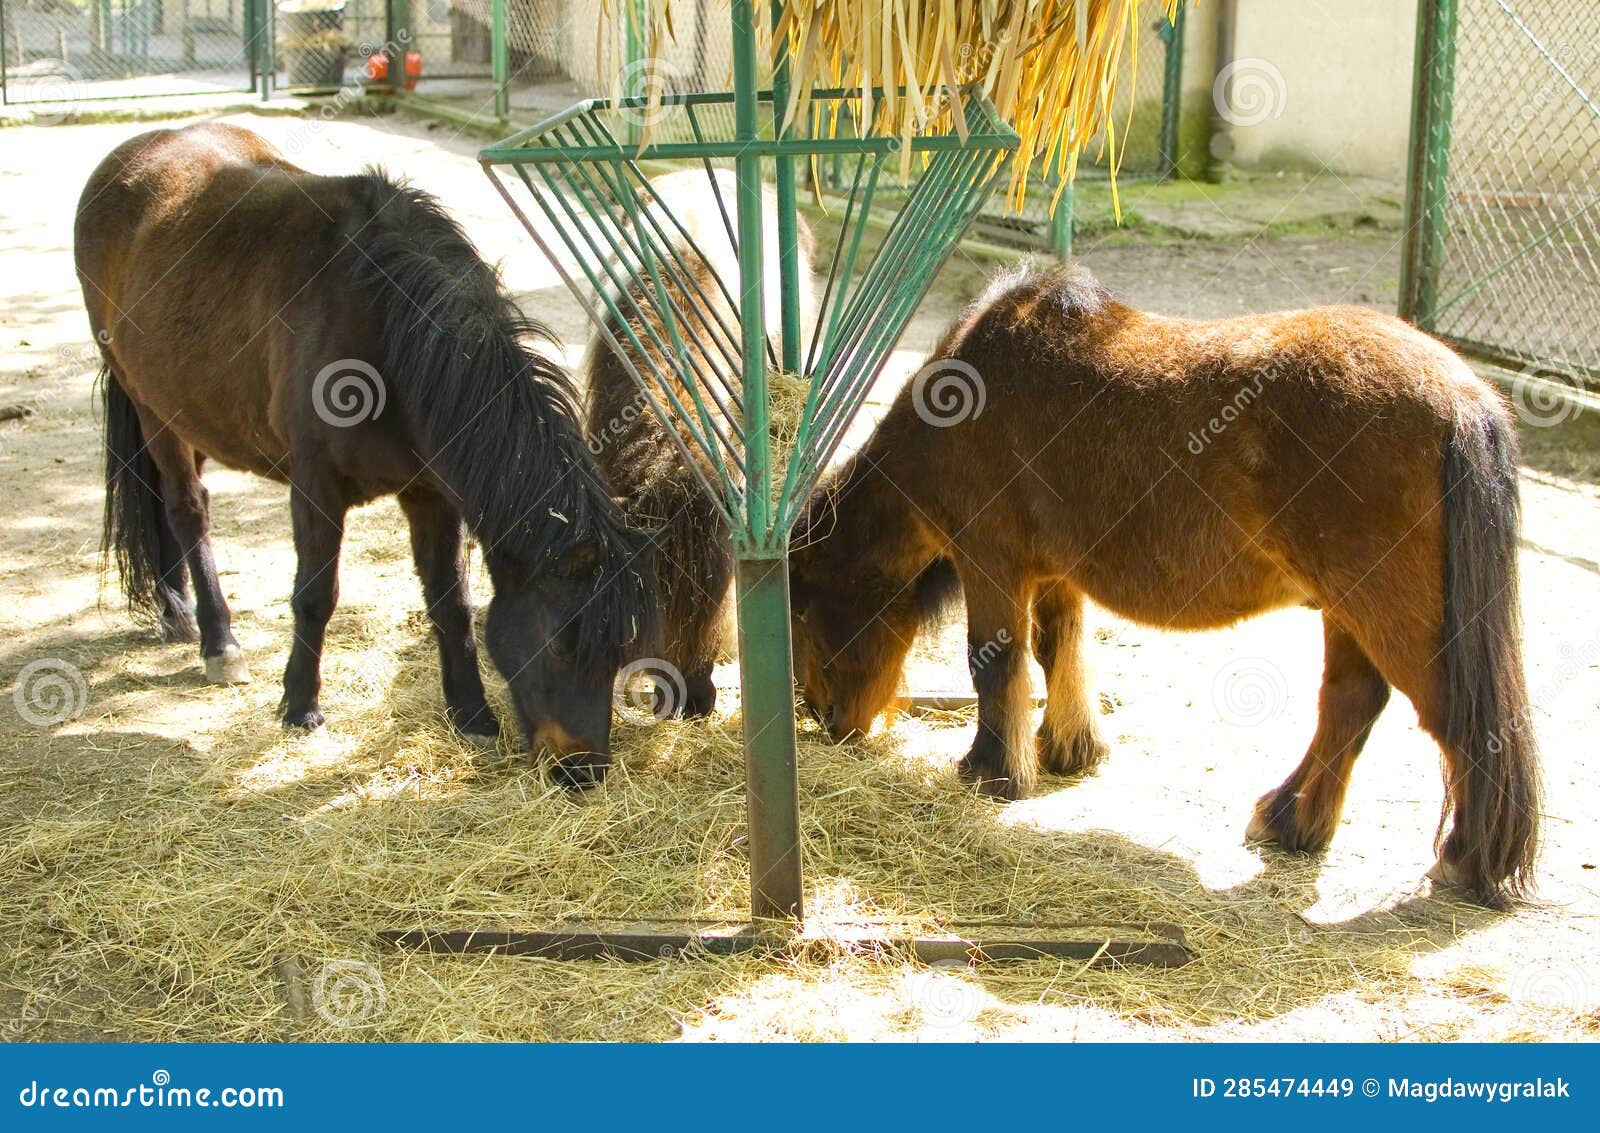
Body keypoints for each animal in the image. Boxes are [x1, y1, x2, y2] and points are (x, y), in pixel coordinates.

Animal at [76, 123, 655, 786]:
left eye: (622, 647)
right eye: (561, 640)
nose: (582, 770)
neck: (384, 331)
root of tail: (133, 153)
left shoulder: (431, 494)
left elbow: (451, 601)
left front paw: (471, 713)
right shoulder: (316, 486)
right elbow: (314, 596)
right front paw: (300, 706)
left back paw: (177, 612)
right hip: (154, 411)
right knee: (185, 508)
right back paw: (216, 641)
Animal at [789, 263, 1540, 905]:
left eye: (803, 610)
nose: (827, 719)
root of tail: (1465, 399)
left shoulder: (992, 561)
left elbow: (996, 663)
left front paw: (991, 770)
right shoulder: (1054, 571)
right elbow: (1059, 650)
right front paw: (1069, 750)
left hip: (1386, 611)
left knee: (1461, 723)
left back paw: (1462, 858)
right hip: (1348, 608)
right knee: (1350, 705)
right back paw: (1291, 821)